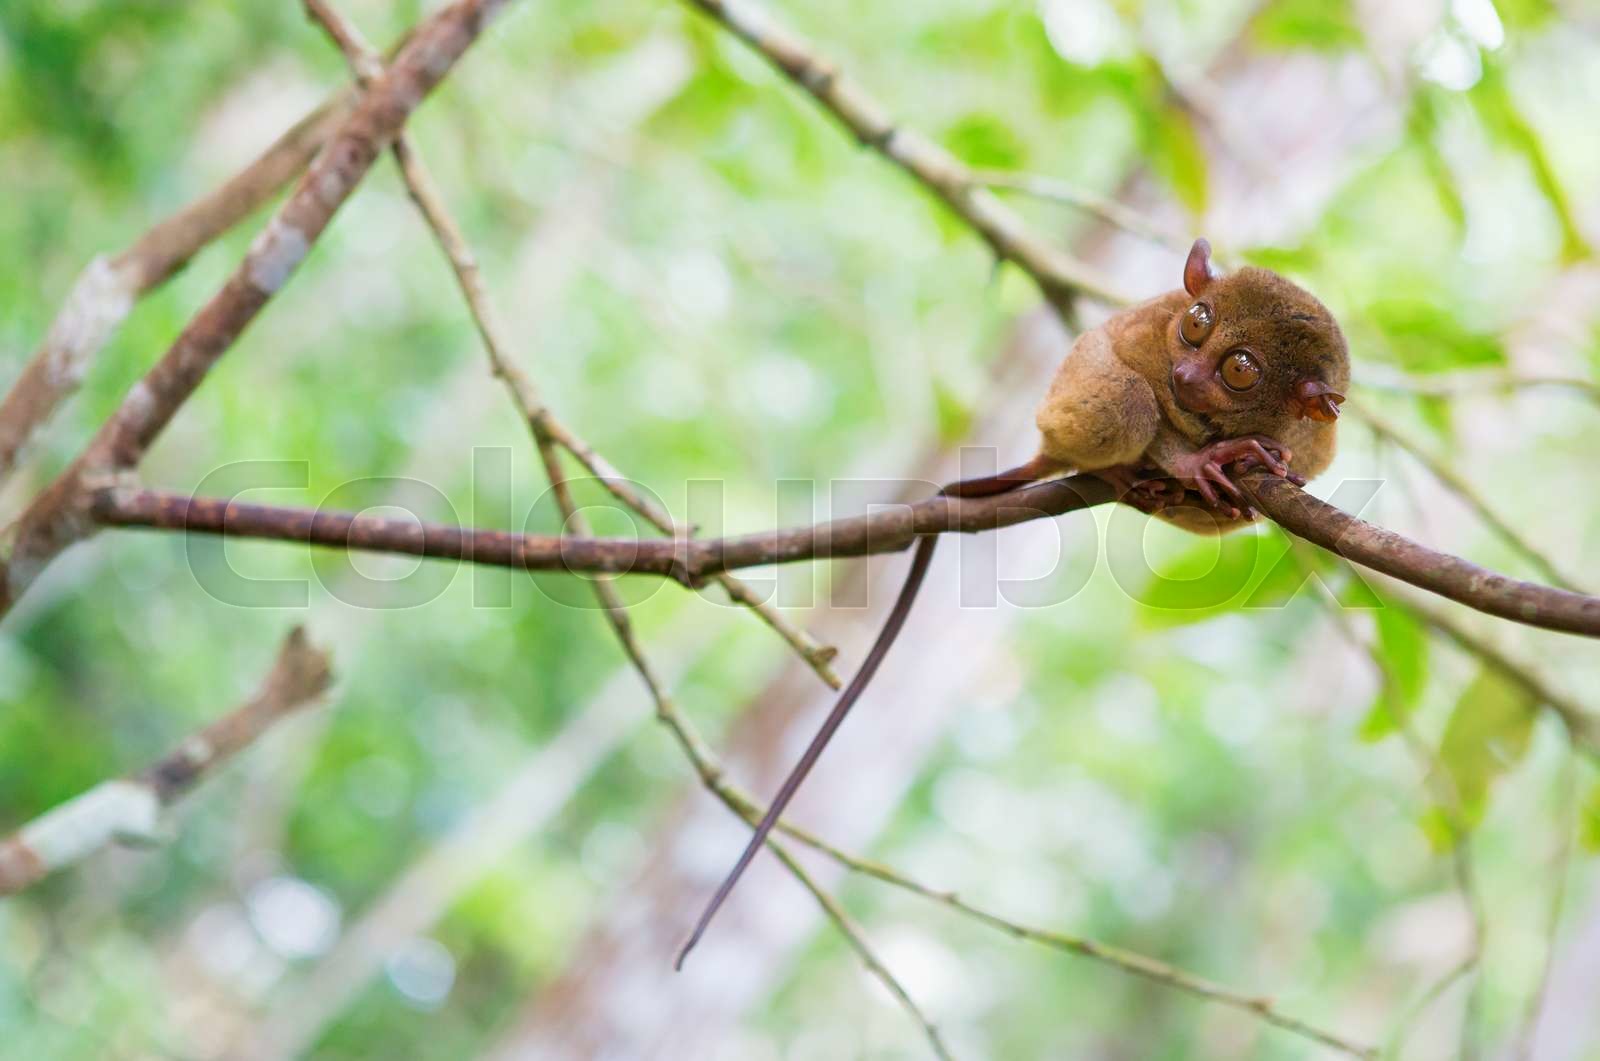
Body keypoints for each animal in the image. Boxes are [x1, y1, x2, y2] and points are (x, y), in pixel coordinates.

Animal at [675, 239, 1348, 968]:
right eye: (1197, 324)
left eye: (1240, 370)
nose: (1189, 372)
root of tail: (1046, 443)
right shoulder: (1147, 338)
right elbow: (1147, 391)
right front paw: (1197, 461)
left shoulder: (1317, 441)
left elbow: (1287, 460)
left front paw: (1248, 462)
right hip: (1069, 403)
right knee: (1129, 399)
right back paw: (1130, 471)